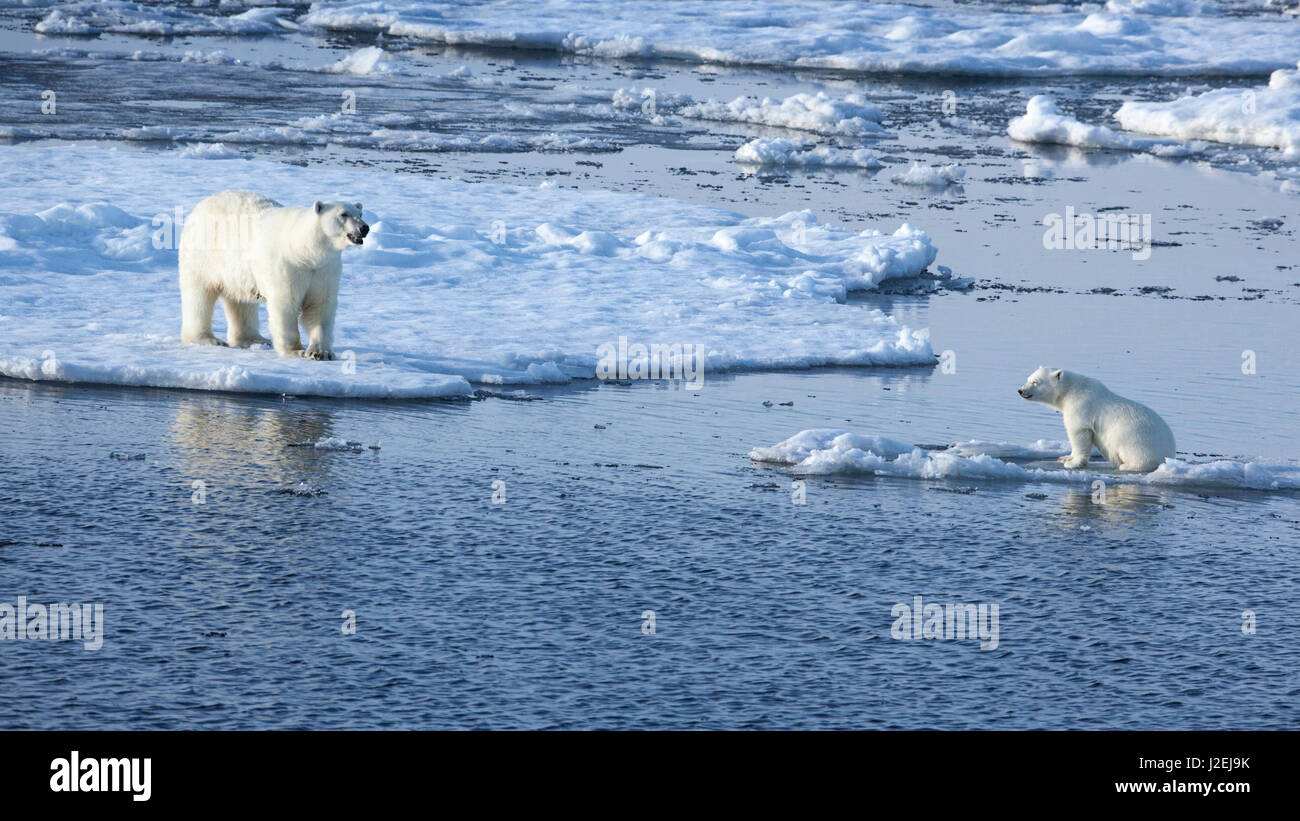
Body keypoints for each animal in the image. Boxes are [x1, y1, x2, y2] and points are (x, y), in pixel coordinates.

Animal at [178, 190, 368, 360]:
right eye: (343, 214)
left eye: (360, 213)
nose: (364, 227)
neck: (303, 251)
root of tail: (201, 205)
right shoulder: (287, 266)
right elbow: (286, 304)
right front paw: (296, 351)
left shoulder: (324, 270)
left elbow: (320, 306)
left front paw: (321, 352)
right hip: (204, 253)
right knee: (199, 294)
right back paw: (207, 339)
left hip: (237, 271)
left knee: (240, 302)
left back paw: (254, 339)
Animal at [1018, 366, 1175, 472]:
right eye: (1028, 378)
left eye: (1036, 382)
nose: (1020, 390)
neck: (1070, 391)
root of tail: (1170, 453)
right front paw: (1065, 457)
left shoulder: (1081, 407)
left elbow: (1078, 434)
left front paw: (1073, 463)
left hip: (1136, 438)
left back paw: (1127, 466)